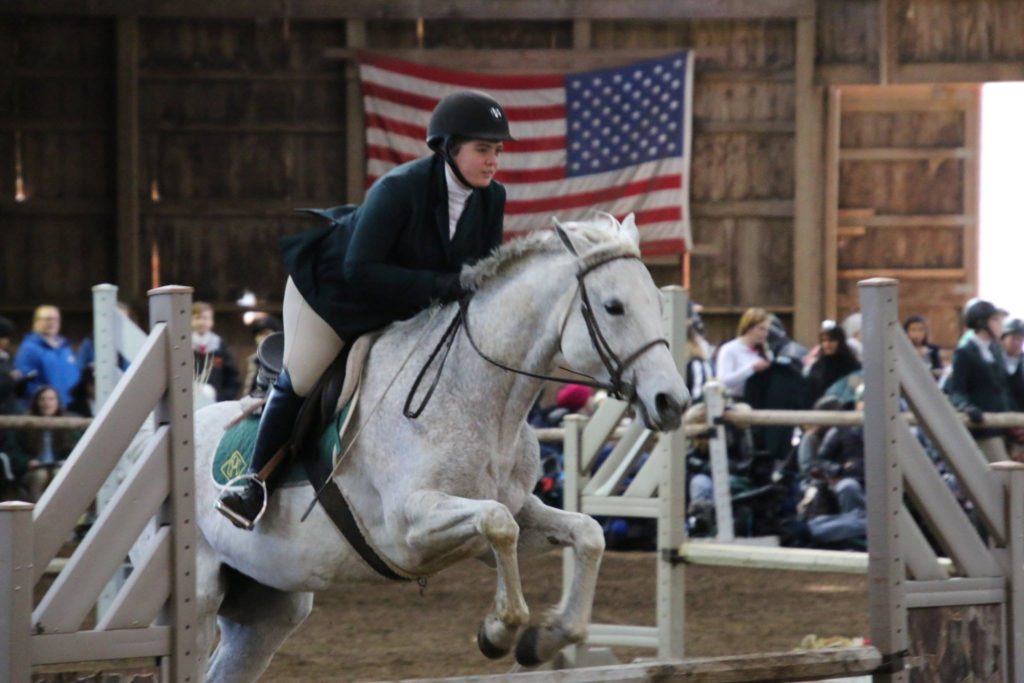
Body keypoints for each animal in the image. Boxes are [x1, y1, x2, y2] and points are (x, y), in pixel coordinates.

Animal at [189, 213, 690, 681]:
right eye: (613, 307)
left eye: (654, 301)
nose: (673, 402)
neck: (481, 400)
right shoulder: (408, 526)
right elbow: (498, 523)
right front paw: (498, 632)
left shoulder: (511, 513)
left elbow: (585, 532)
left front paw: (544, 640)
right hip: (201, 595)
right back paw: (243, 496)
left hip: (267, 610)